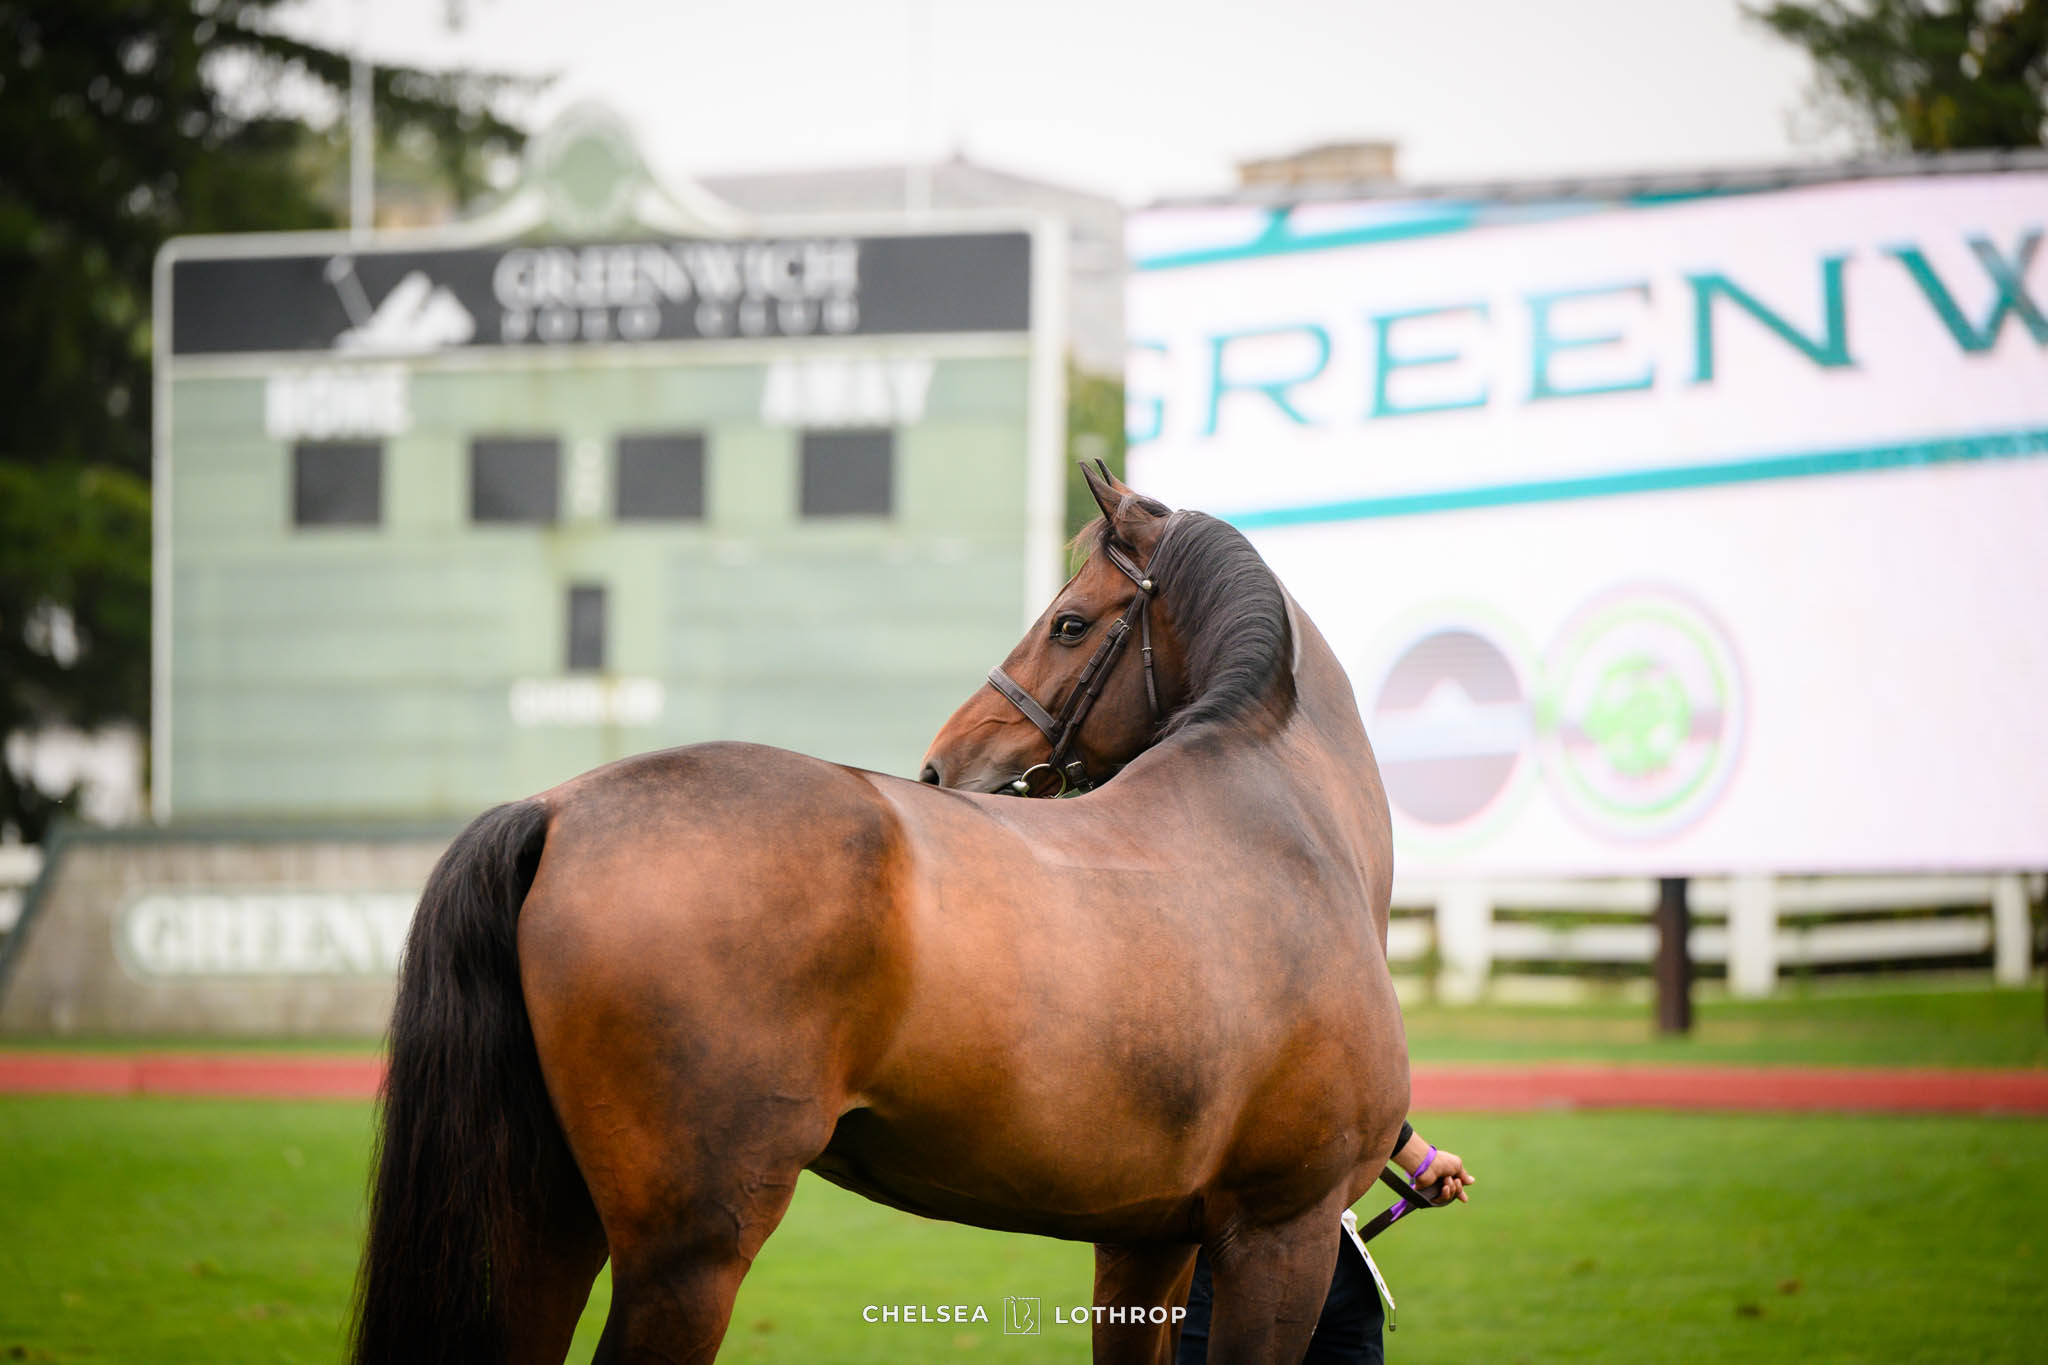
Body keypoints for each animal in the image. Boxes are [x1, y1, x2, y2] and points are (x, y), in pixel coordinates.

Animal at [351, 463, 1407, 1365]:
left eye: (1070, 624)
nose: (943, 764)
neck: (1281, 817)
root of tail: (558, 806)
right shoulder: (1282, 1233)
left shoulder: (1148, 1242)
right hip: (687, 1254)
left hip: (544, 1219)